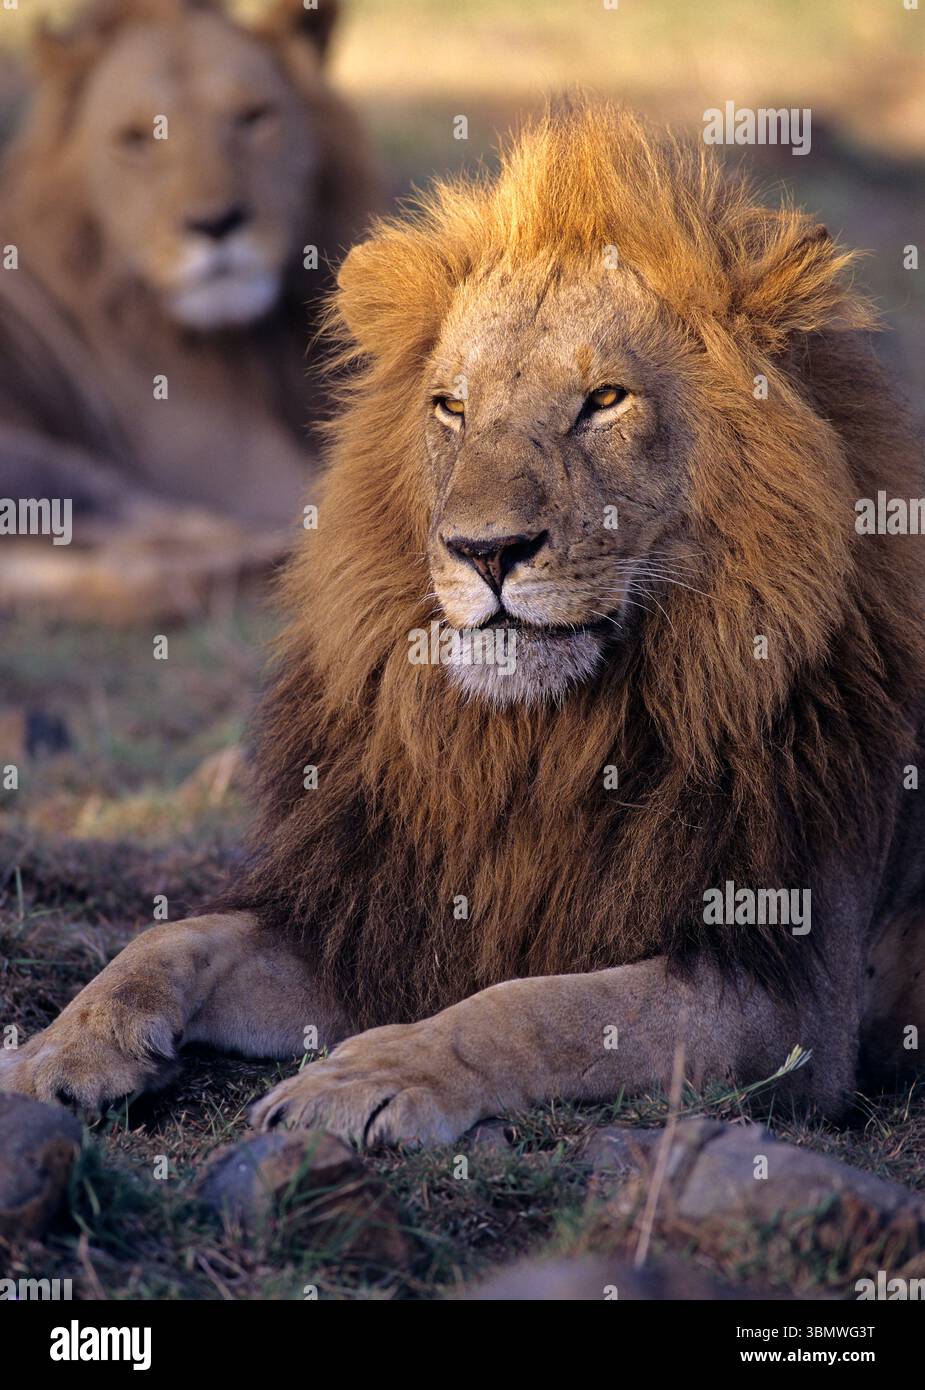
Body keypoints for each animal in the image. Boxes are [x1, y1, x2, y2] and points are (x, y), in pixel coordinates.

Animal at [4, 104, 925, 1144]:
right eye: (451, 406)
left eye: (604, 400)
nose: (486, 551)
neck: (540, 747)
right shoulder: (377, 918)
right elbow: (174, 936)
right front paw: (61, 1049)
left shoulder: (789, 1002)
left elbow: (535, 1006)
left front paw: (365, 1078)